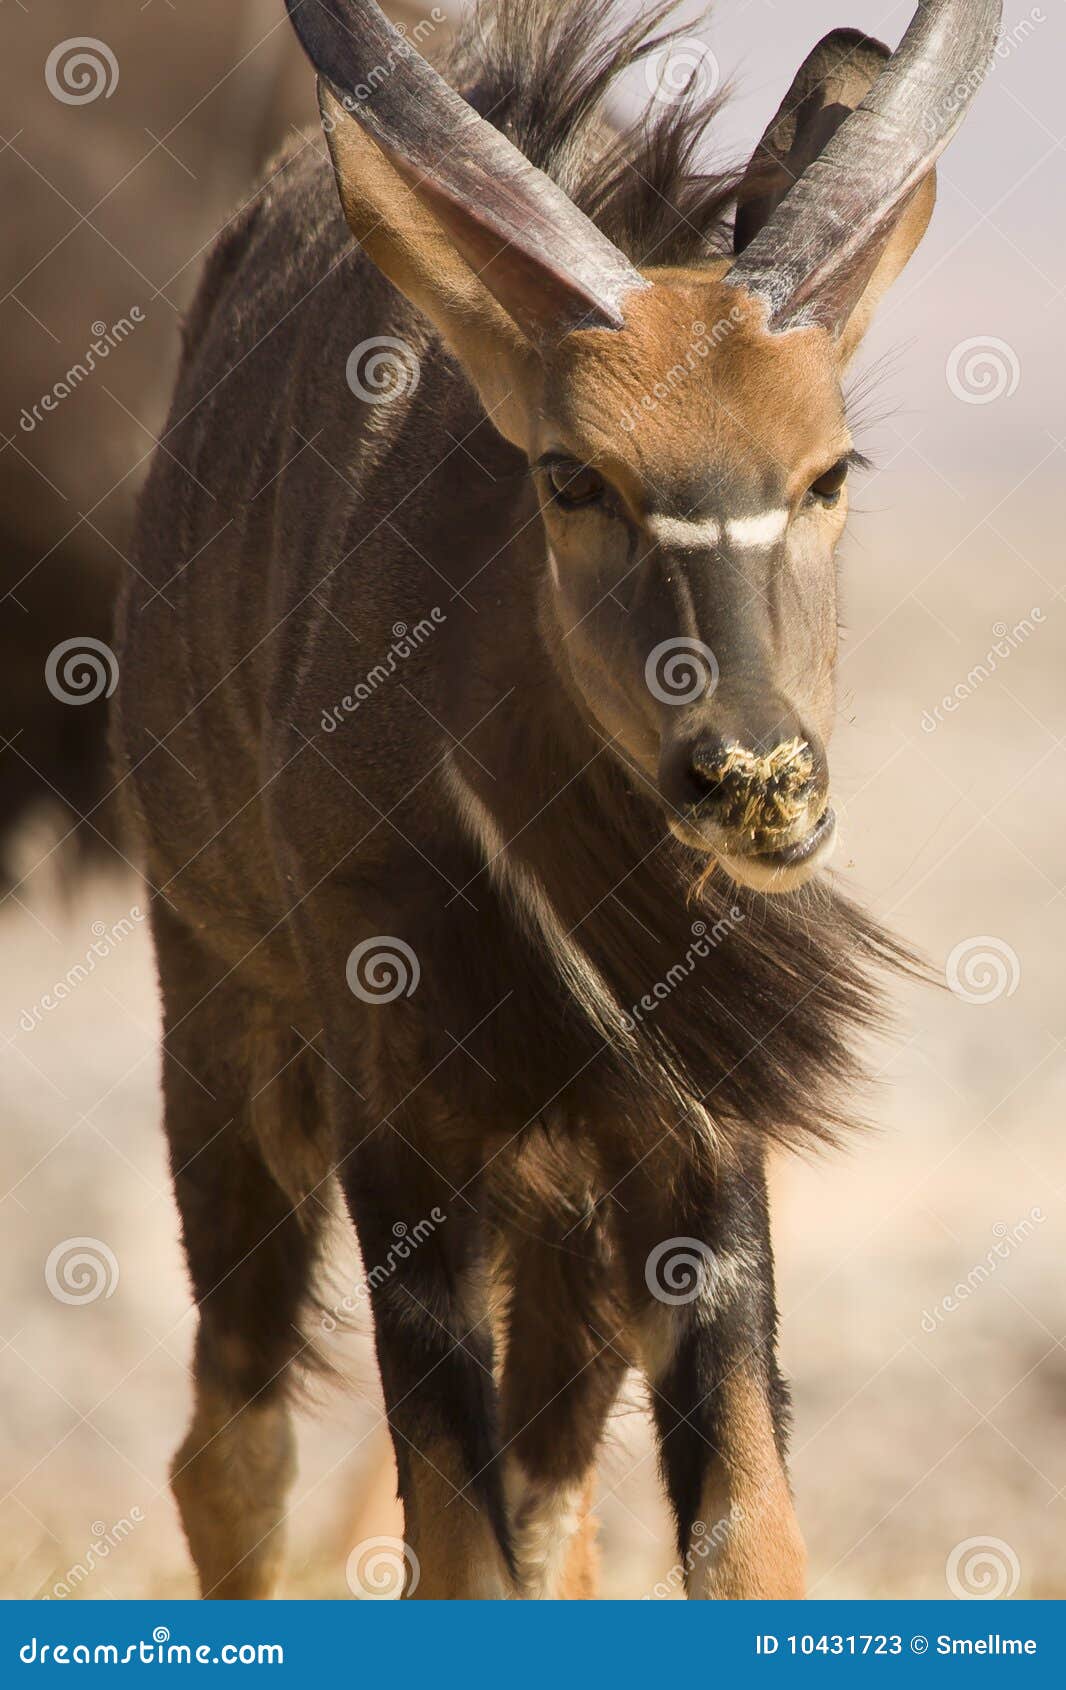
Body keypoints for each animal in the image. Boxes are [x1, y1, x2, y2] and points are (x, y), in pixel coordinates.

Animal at [114, 0, 999, 1599]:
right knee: (231, 1447)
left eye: (828, 469)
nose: (754, 779)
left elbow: (739, 1536)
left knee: (546, 1499)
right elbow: (460, 1553)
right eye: (575, 477)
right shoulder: (404, 1127)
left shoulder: (689, 1149)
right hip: (216, 1012)